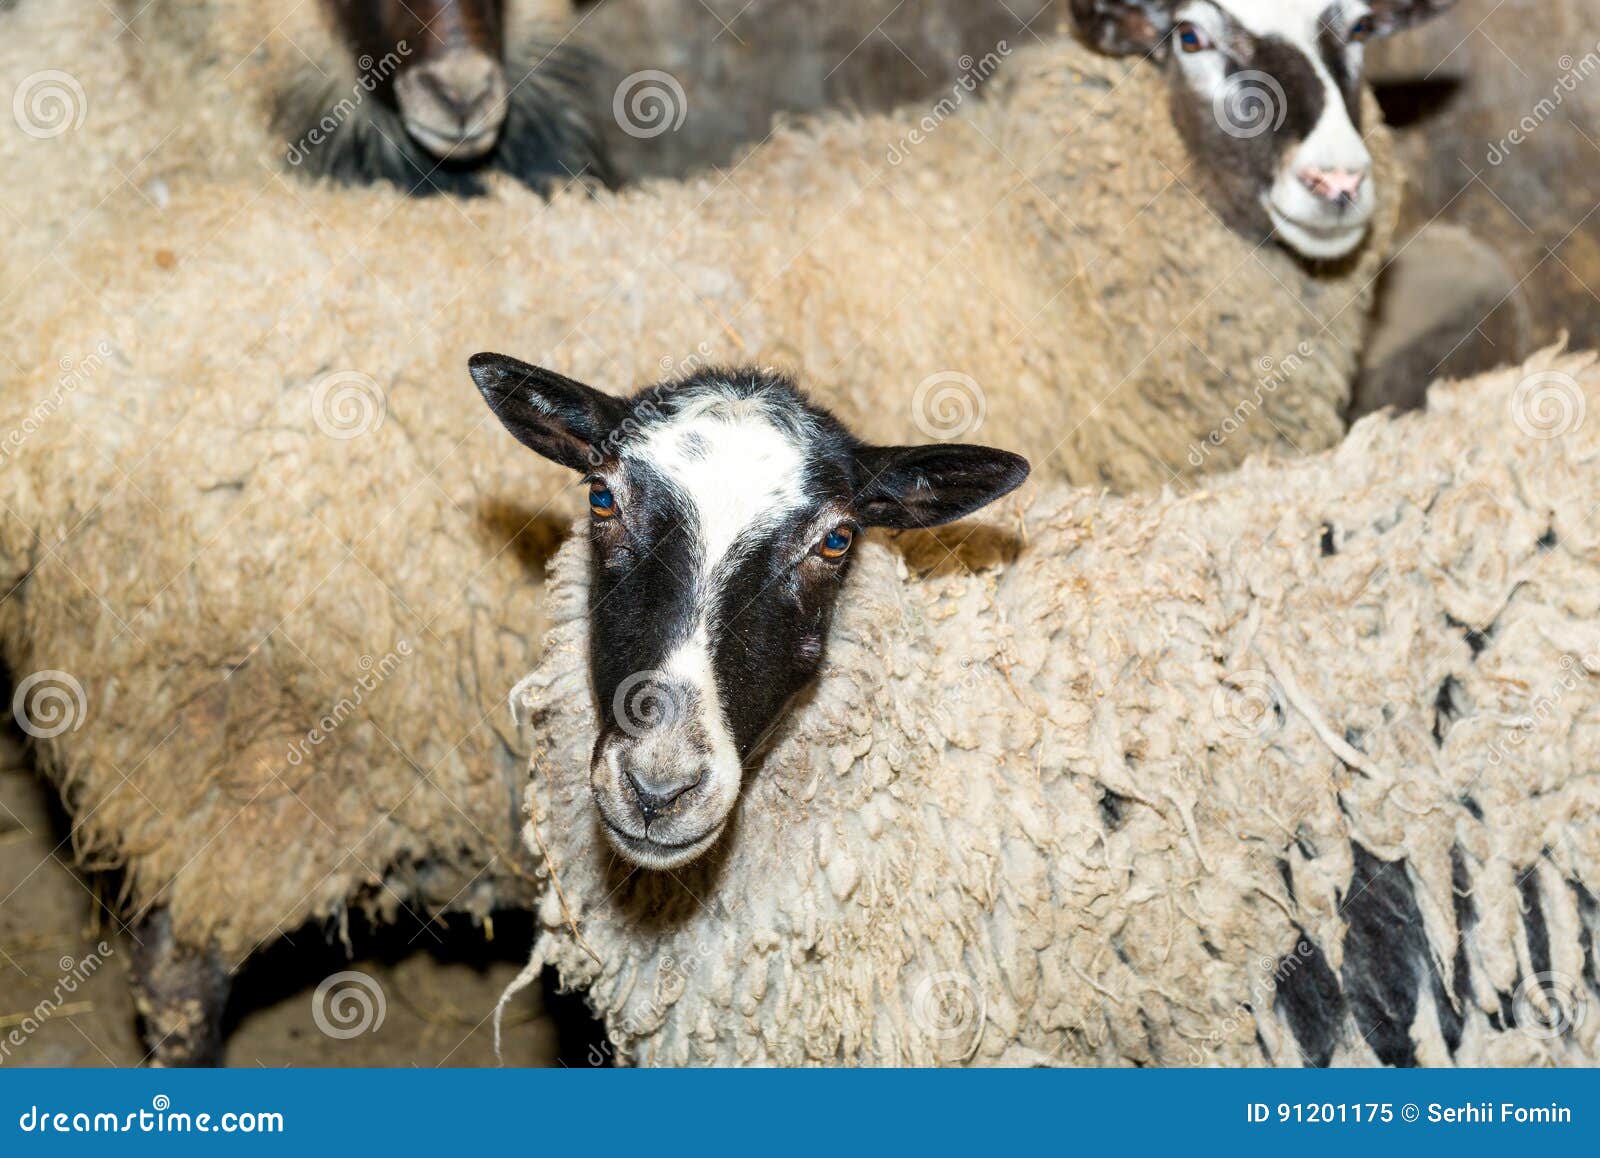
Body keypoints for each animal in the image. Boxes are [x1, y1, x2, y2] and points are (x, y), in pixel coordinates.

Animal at [0, 11, 1447, 1062]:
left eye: (1355, 33)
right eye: (1190, 35)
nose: (1336, 184)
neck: (1043, 246)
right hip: (216, 758)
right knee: (179, 985)